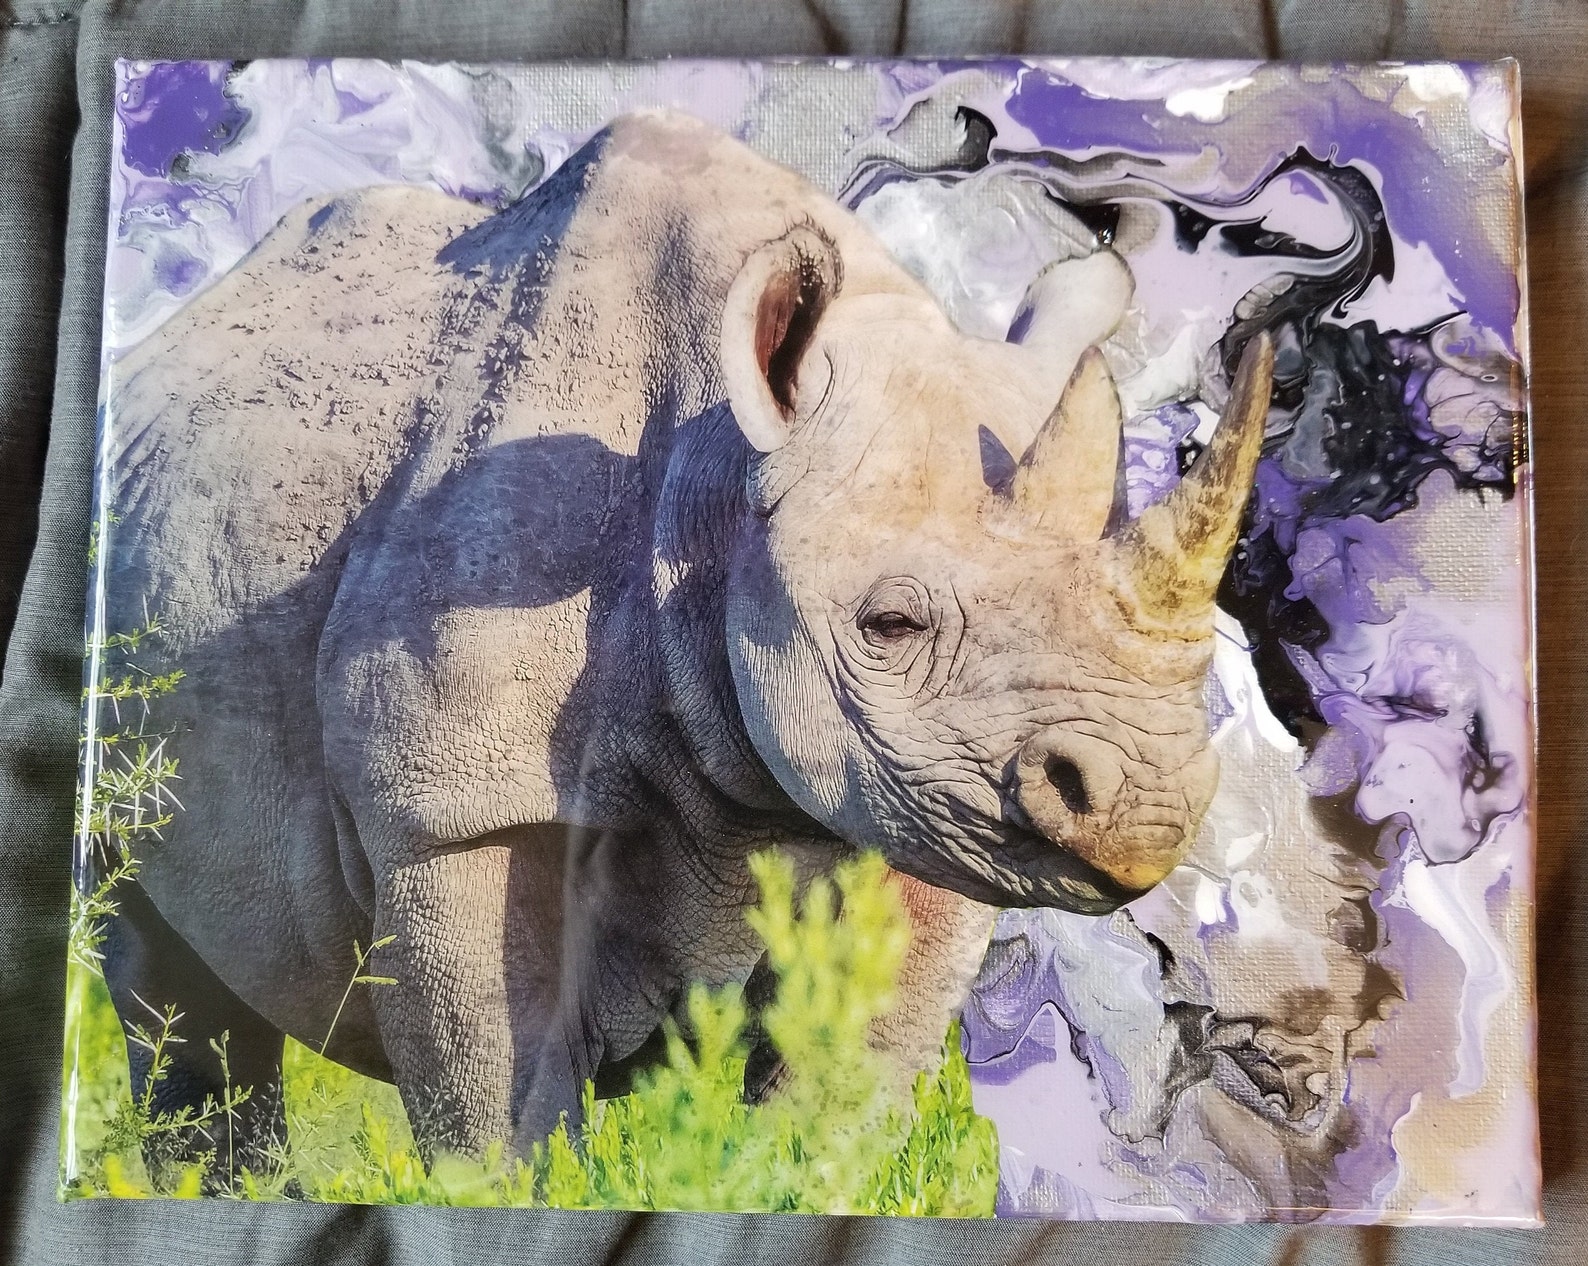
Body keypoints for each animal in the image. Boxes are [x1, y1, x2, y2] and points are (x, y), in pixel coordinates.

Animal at [97, 109, 1274, 1165]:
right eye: (889, 624)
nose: (1148, 811)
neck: (716, 487)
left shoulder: (927, 815)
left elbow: (841, 1111)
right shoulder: (451, 807)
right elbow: (500, 1114)